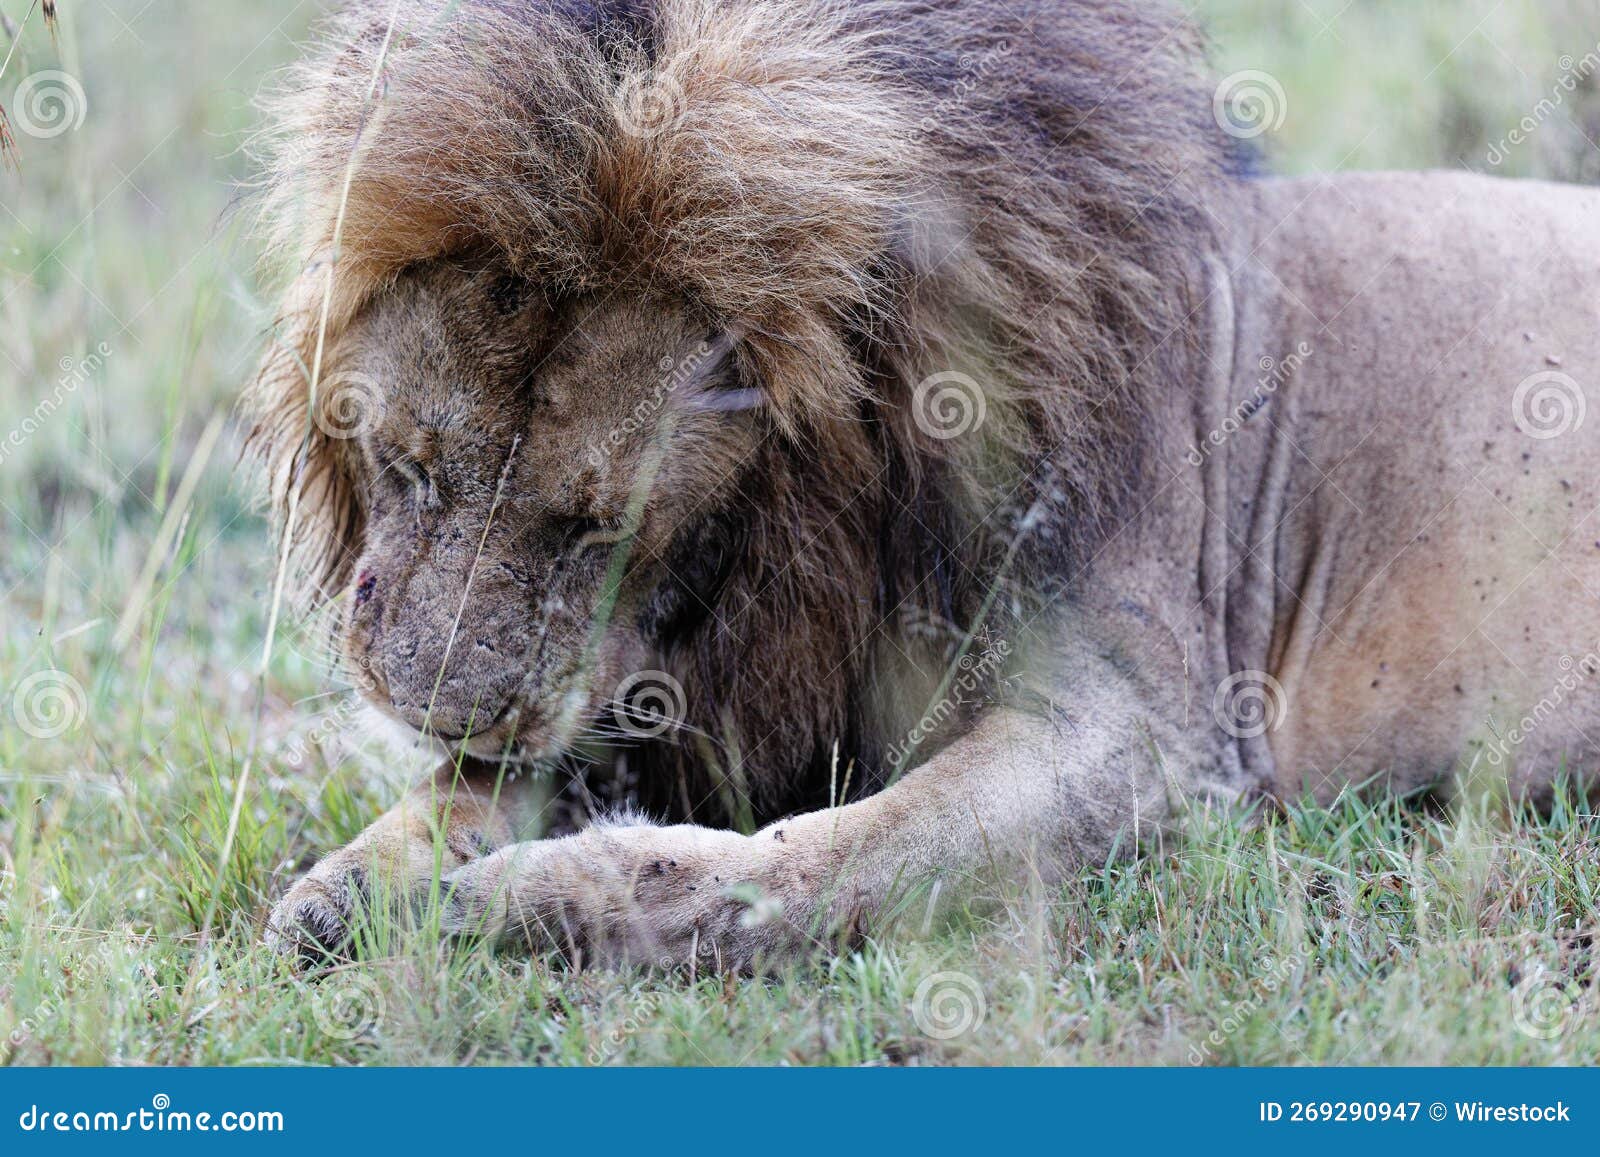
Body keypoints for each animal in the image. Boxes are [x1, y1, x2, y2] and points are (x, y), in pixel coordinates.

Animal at [253, 0, 1600, 969]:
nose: (438, 706)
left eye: (602, 528)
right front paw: (356, 879)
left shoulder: (1148, 733)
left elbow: (836, 859)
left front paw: (525, 903)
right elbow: (477, 790)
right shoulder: (684, 682)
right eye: (408, 466)